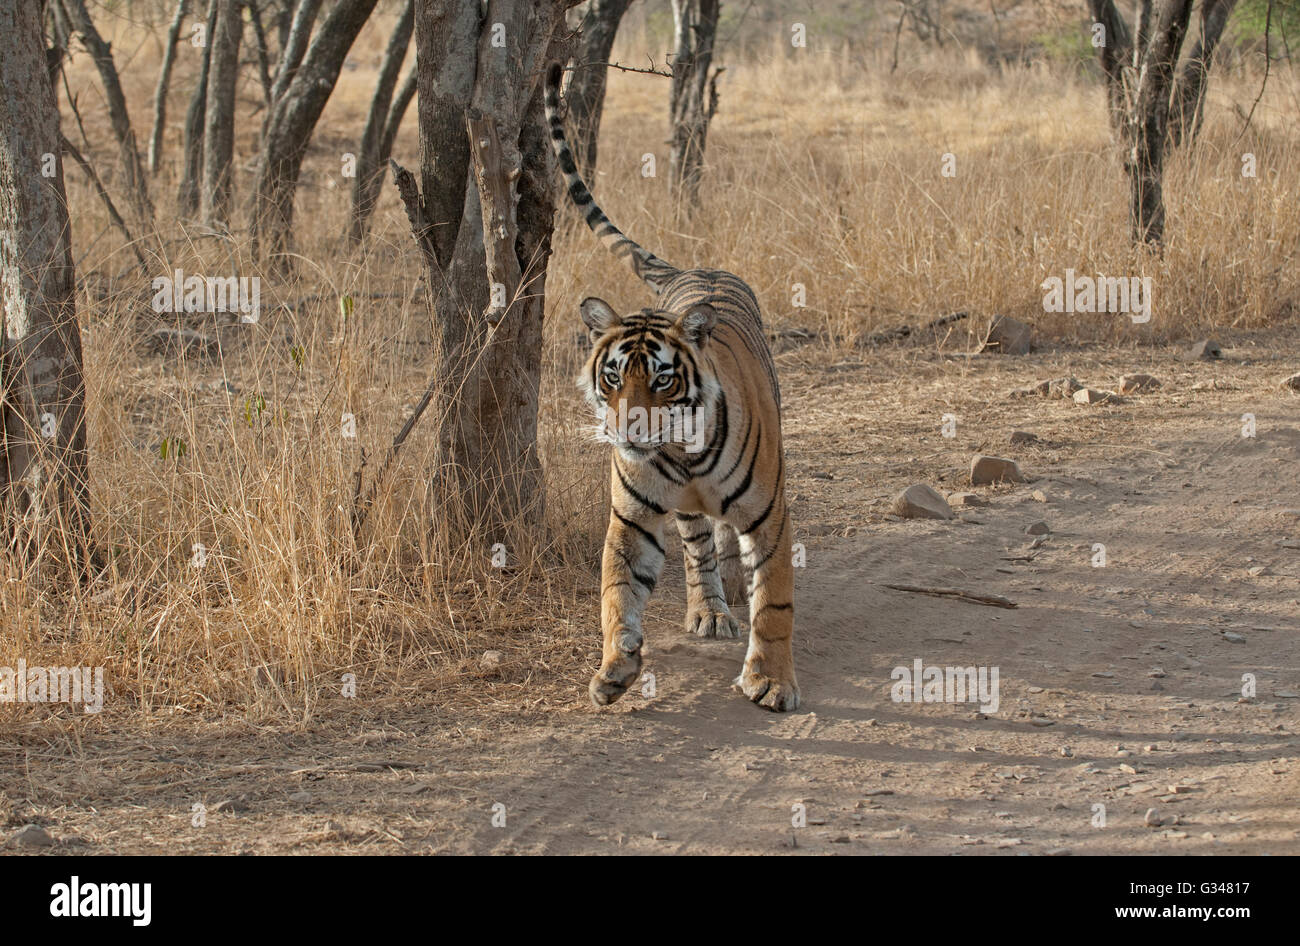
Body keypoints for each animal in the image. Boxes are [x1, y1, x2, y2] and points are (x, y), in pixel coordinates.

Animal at [544, 62, 799, 712]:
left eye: (662, 378)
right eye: (613, 375)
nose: (629, 430)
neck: (685, 453)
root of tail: (691, 267)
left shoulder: (769, 514)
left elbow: (775, 602)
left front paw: (772, 682)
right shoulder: (633, 517)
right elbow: (617, 592)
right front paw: (615, 667)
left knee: (728, 549)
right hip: (684, 517)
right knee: (699, 546)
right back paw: (709, 608)